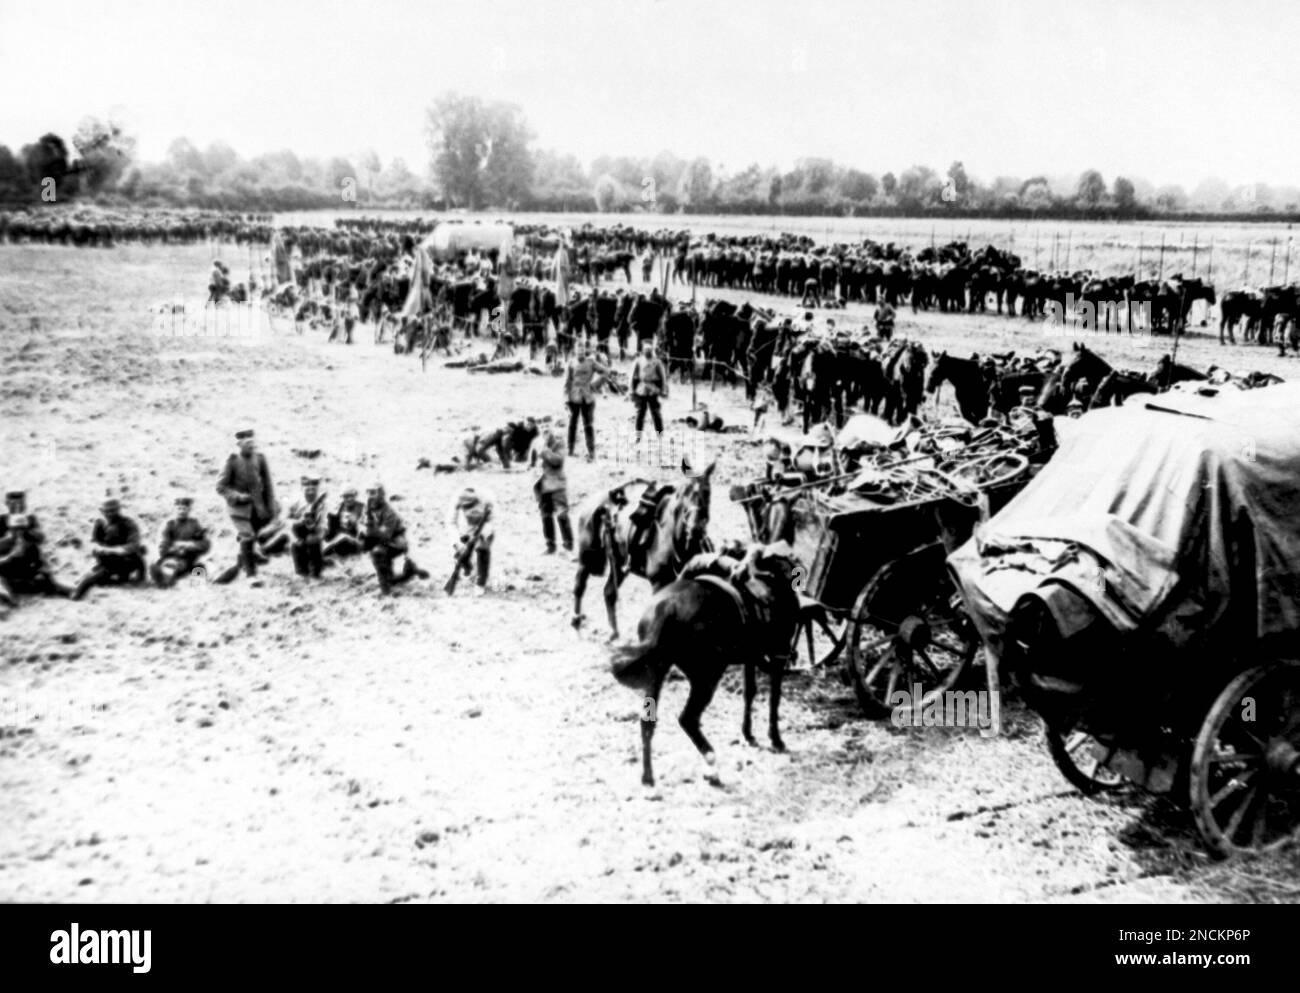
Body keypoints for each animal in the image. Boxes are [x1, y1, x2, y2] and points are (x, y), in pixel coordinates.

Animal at [572, 460, 717, 639]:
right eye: (684, 494)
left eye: (707, 492)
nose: (695, 527)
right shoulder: (658, 583)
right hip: (586, 558)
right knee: (579, 586)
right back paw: (576, 621)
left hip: (618, 565)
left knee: (609, 592)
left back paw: (613, 631)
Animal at [608, 538, 800, 785]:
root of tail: (666, 608)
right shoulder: (779, 655)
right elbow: (774, 698)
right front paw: (775, 739)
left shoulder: (752, 659)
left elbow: (750, 692)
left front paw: (748, 734)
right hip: (707, 677)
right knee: (688, 719)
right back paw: (712, 765)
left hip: (658, 671)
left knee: (648, 722)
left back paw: (648, 777)